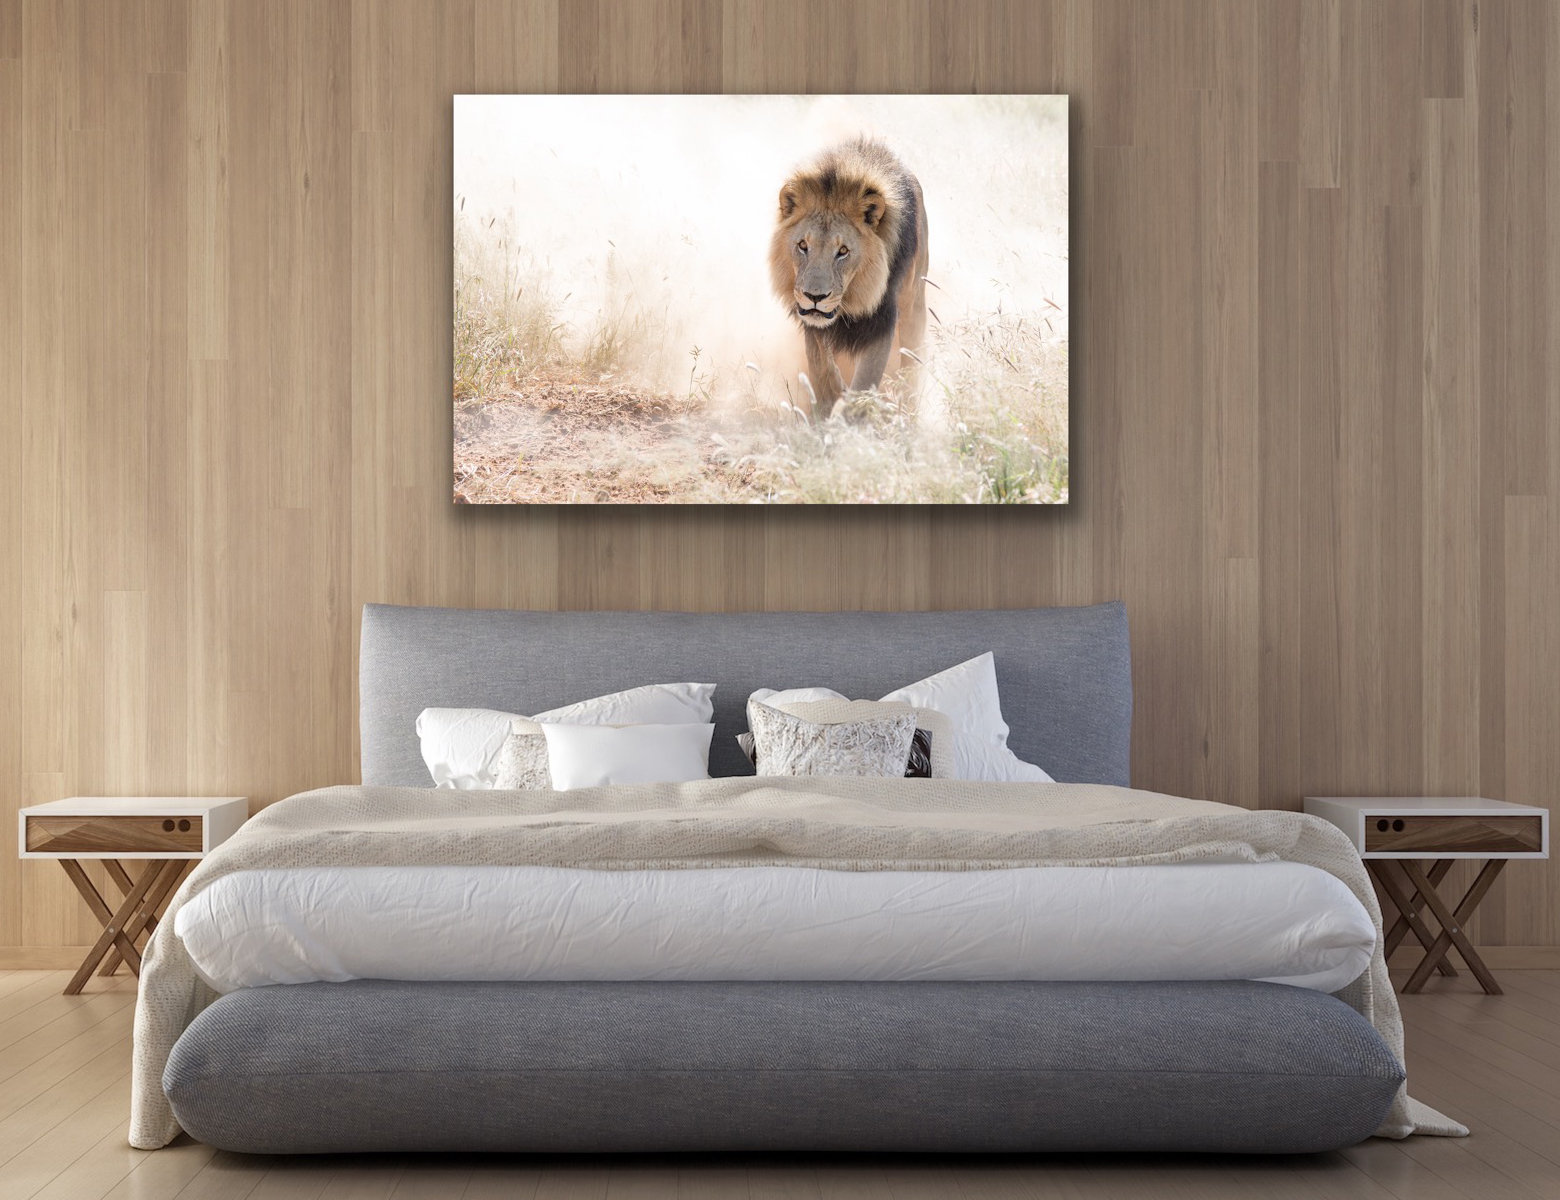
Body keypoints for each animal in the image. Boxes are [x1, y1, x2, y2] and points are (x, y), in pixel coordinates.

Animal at [769, 138, 929, 419]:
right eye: (803, 245)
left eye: (842, 251)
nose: (815, 297)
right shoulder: (813, 323)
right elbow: (821, 366)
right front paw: (831, 400)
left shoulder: (881, 320)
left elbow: (865, 379)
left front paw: (849, 417)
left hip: (914, 301)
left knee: (912, 356)